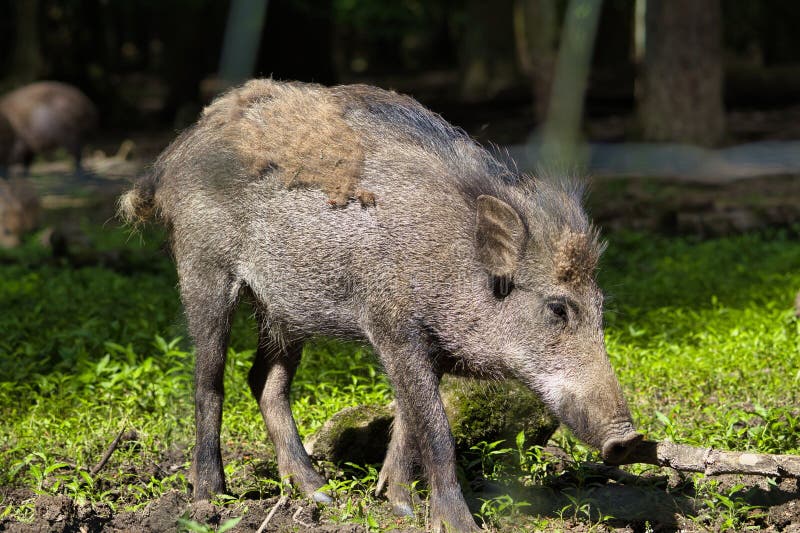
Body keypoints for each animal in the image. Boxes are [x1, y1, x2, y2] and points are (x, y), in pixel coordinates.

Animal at [119, 79, 641, 532]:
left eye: (599, 306)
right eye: (558, 308)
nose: (629, 440)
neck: (453, 263)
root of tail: (173, 157)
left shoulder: (428, 350)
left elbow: (409, 420)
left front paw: (397, 506)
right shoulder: (393, 328)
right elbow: (436, 427)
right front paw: (457, 525)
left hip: (283, 308)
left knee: (264, 381)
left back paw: (320, 494)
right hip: (204, 271)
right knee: (209, 381)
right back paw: (210, 497)